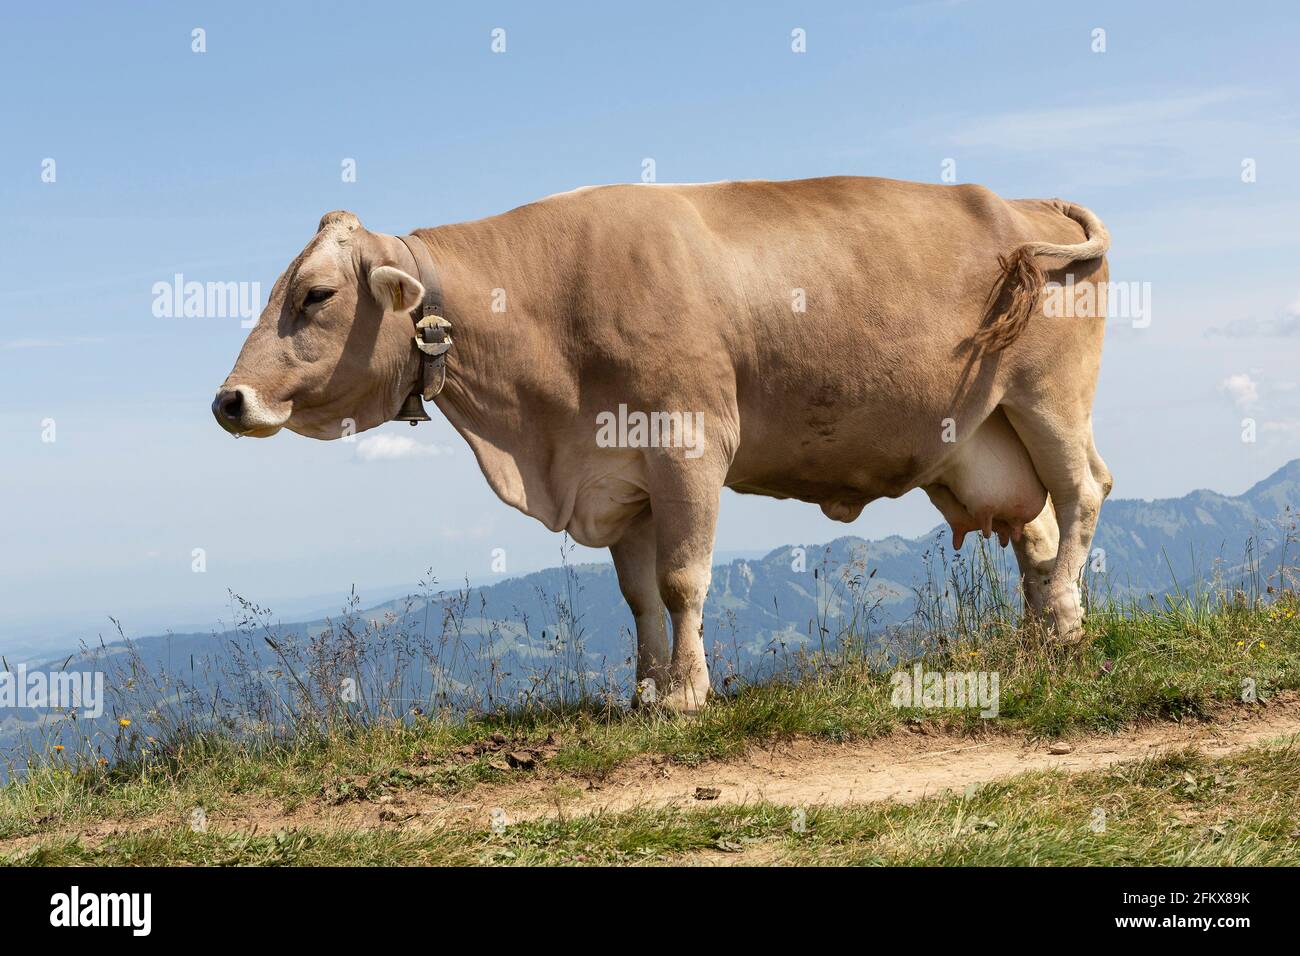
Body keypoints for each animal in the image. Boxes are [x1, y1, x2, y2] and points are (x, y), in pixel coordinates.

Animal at [213, 176, 1113, 712]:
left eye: (315, 294)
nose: (229, 400)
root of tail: (1026, 203)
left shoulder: (687, 446)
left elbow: (683, 582)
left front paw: (687, 694)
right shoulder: (622, 477)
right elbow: (639, 595)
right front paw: (646, 691)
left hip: (1051, 399)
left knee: (1083, 493)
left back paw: (1068, 619)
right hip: (984, 432)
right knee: (1033, 526)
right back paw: (1038, 632)